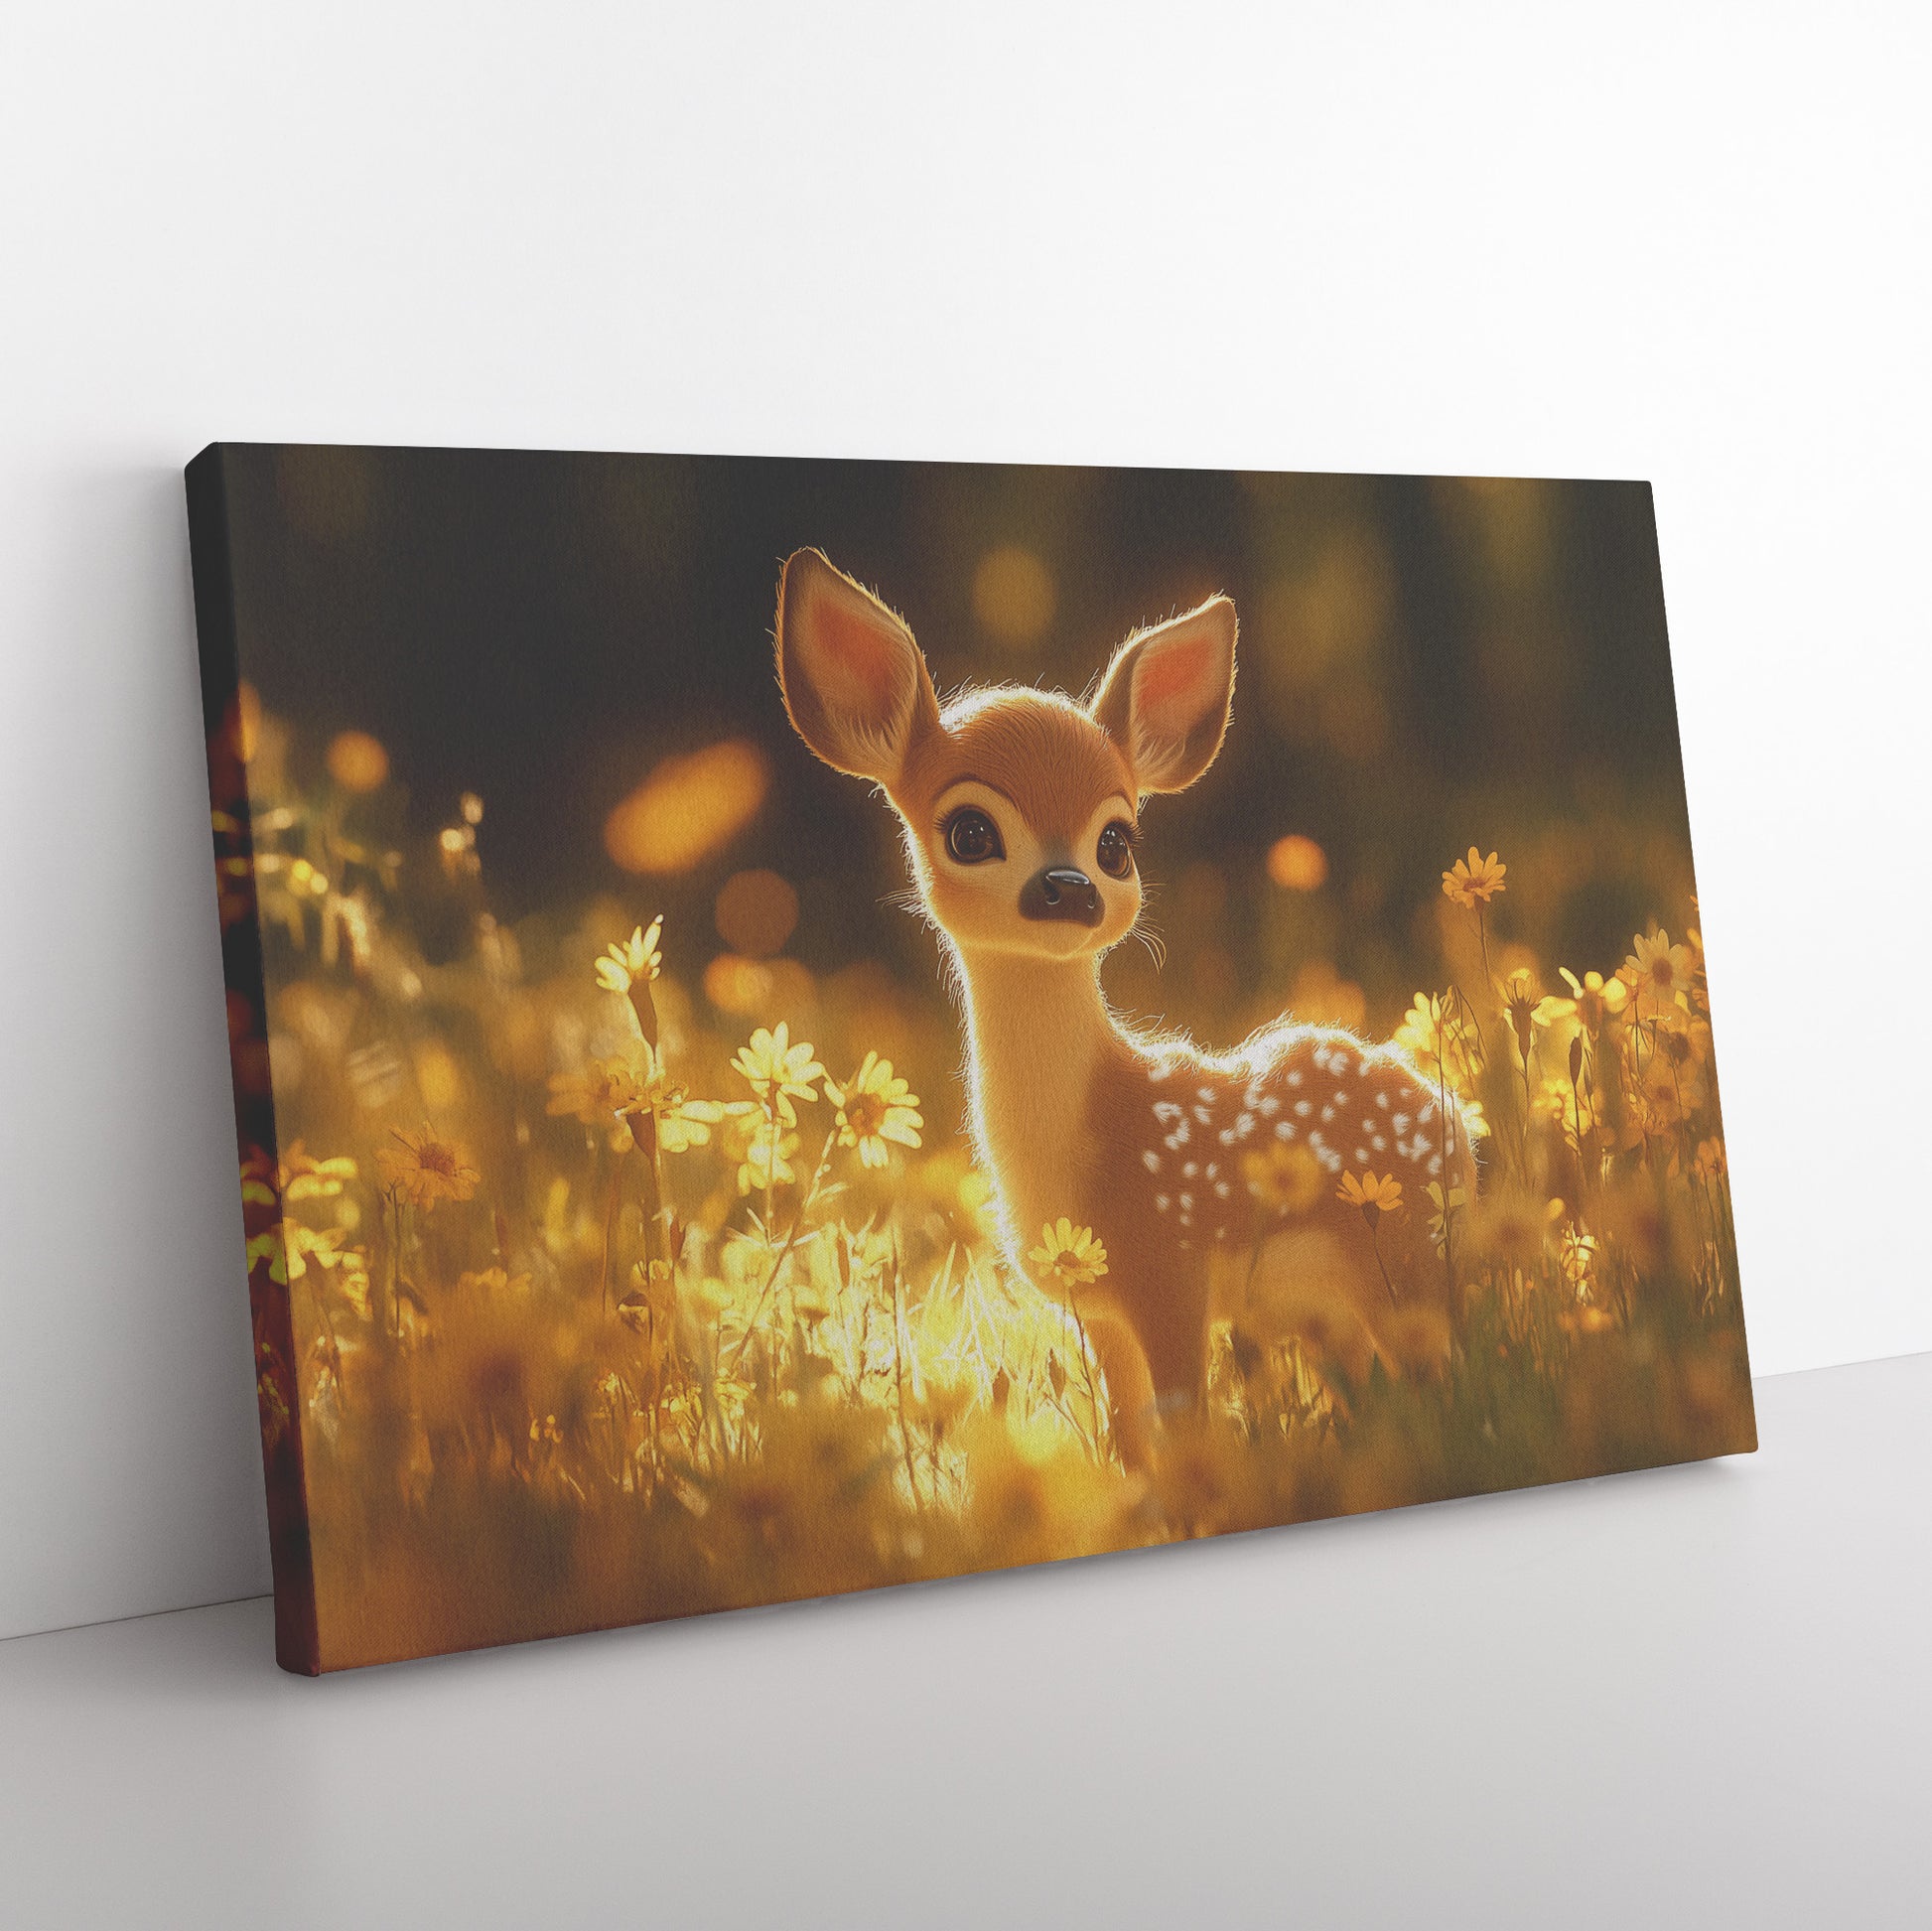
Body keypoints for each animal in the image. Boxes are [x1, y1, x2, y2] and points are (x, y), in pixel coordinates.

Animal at [773, 548, 1481, 1464]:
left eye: (1117, 840)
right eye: (970, 831)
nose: (1068, 887)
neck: (1088, 1132)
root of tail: (1459, 1121)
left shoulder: (1168, 1264)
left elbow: (1184, 1421)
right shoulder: (1097, 1305)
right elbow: (1131, 1436)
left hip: (1410, 1253)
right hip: (1333, 1305)